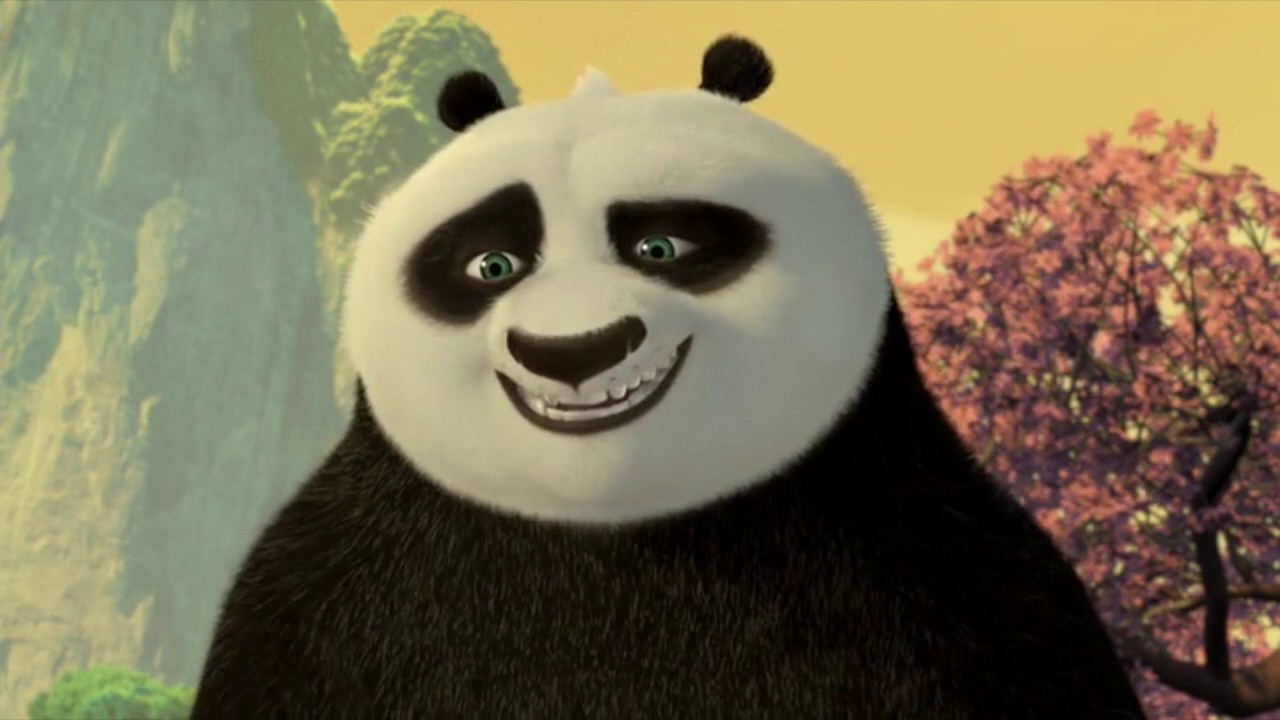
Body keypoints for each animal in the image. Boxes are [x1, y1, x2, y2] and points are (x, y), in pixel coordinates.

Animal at [192, 36, 1147, 720]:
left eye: (661, 247)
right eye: (492, 264)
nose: (574, 350)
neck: (613, 523)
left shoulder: (934, 565)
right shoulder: (332, 595)